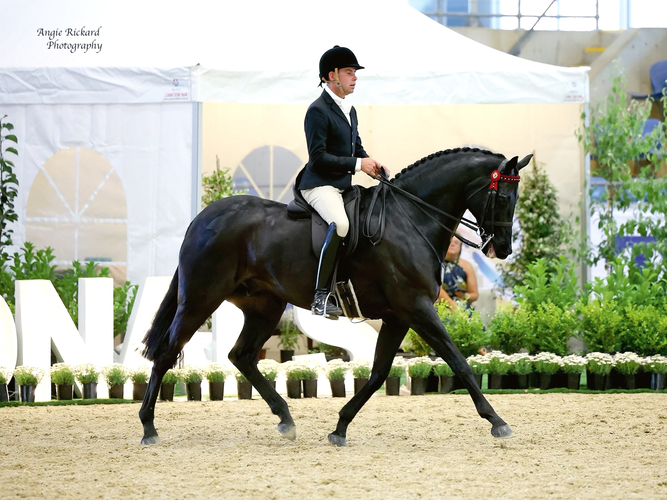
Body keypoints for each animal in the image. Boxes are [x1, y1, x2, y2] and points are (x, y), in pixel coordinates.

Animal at [139, 147, 532, 446]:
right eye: (502, 196)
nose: (502, 248)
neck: (411, 218)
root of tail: (202, 218)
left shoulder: (398, 316)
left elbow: (378, 373)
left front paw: (340, 427)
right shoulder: (417, 308)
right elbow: (458, 361)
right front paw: (497, 422)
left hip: (264, 306)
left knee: (242, 356)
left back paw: (285, 419)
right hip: (200, 299)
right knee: (166, 353)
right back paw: (148, 427)